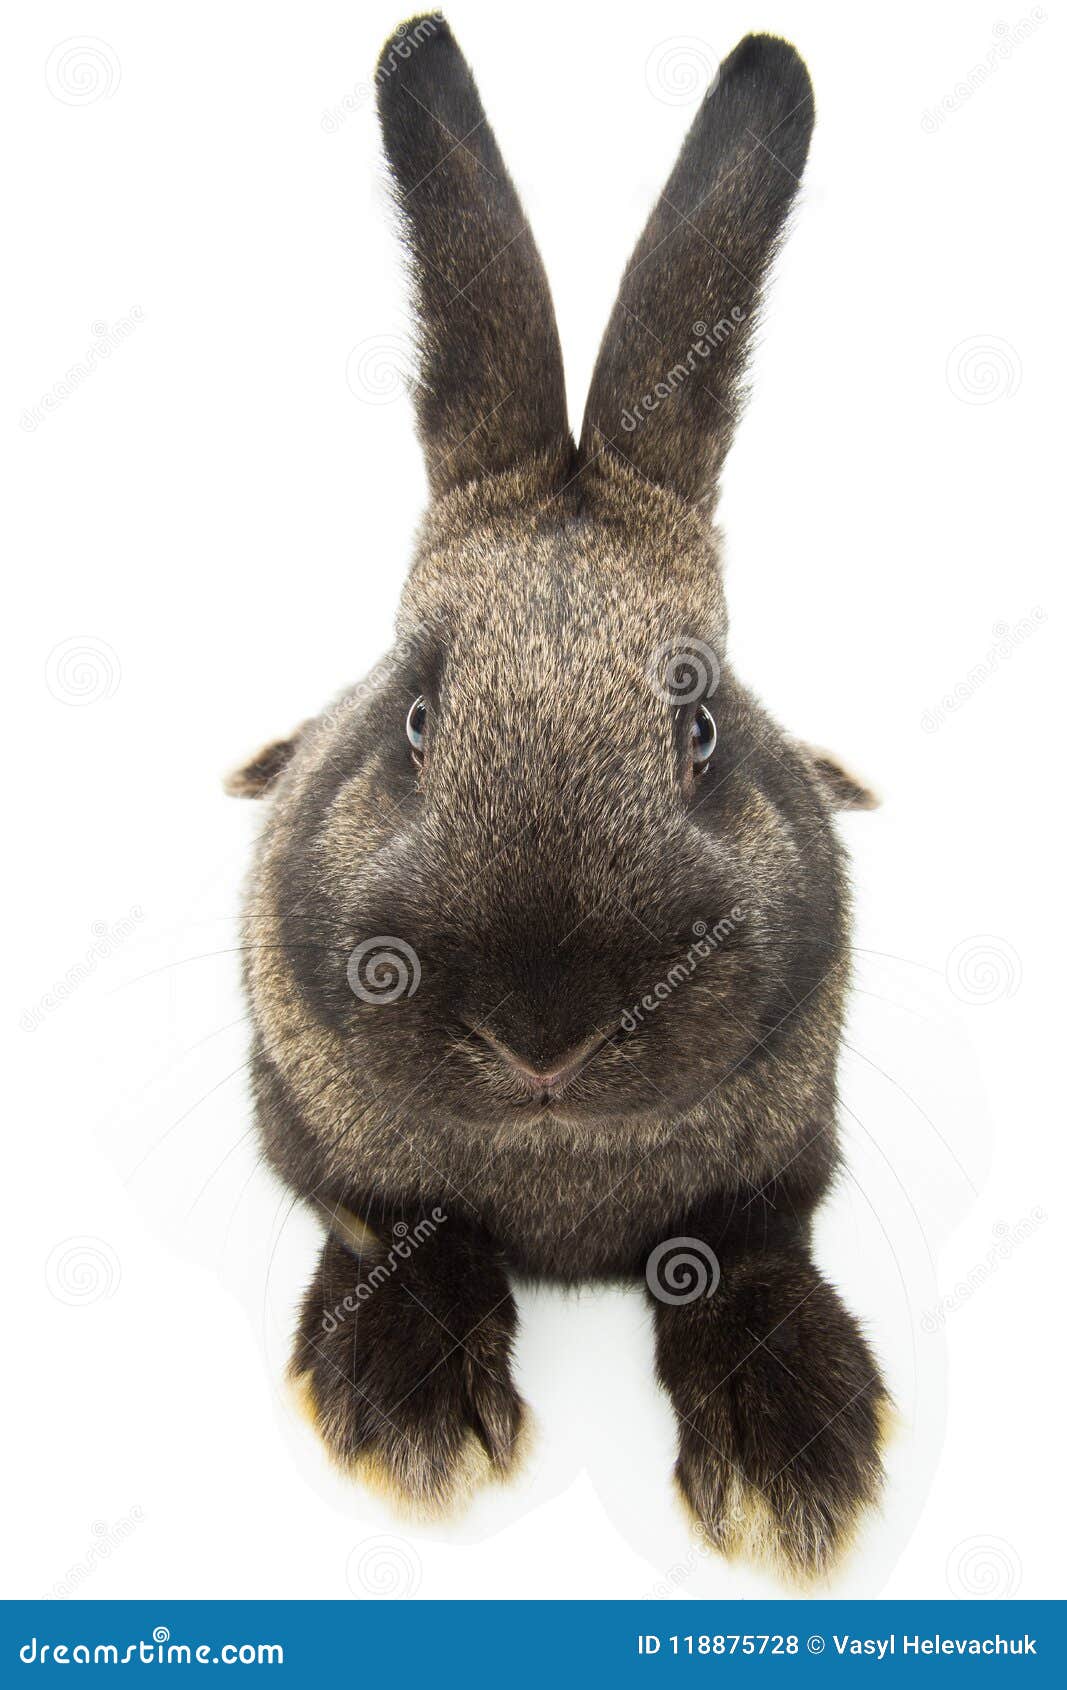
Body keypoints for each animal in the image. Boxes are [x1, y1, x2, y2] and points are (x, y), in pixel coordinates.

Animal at [227, 14, 890, 1584]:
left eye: (700, 723)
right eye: (414, 716)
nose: (544, 1039)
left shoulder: (776, 1167)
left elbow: (745, 1256)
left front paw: (792, 1456)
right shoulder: (314, 1121)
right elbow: (397, 1220)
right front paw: (406, 1407)